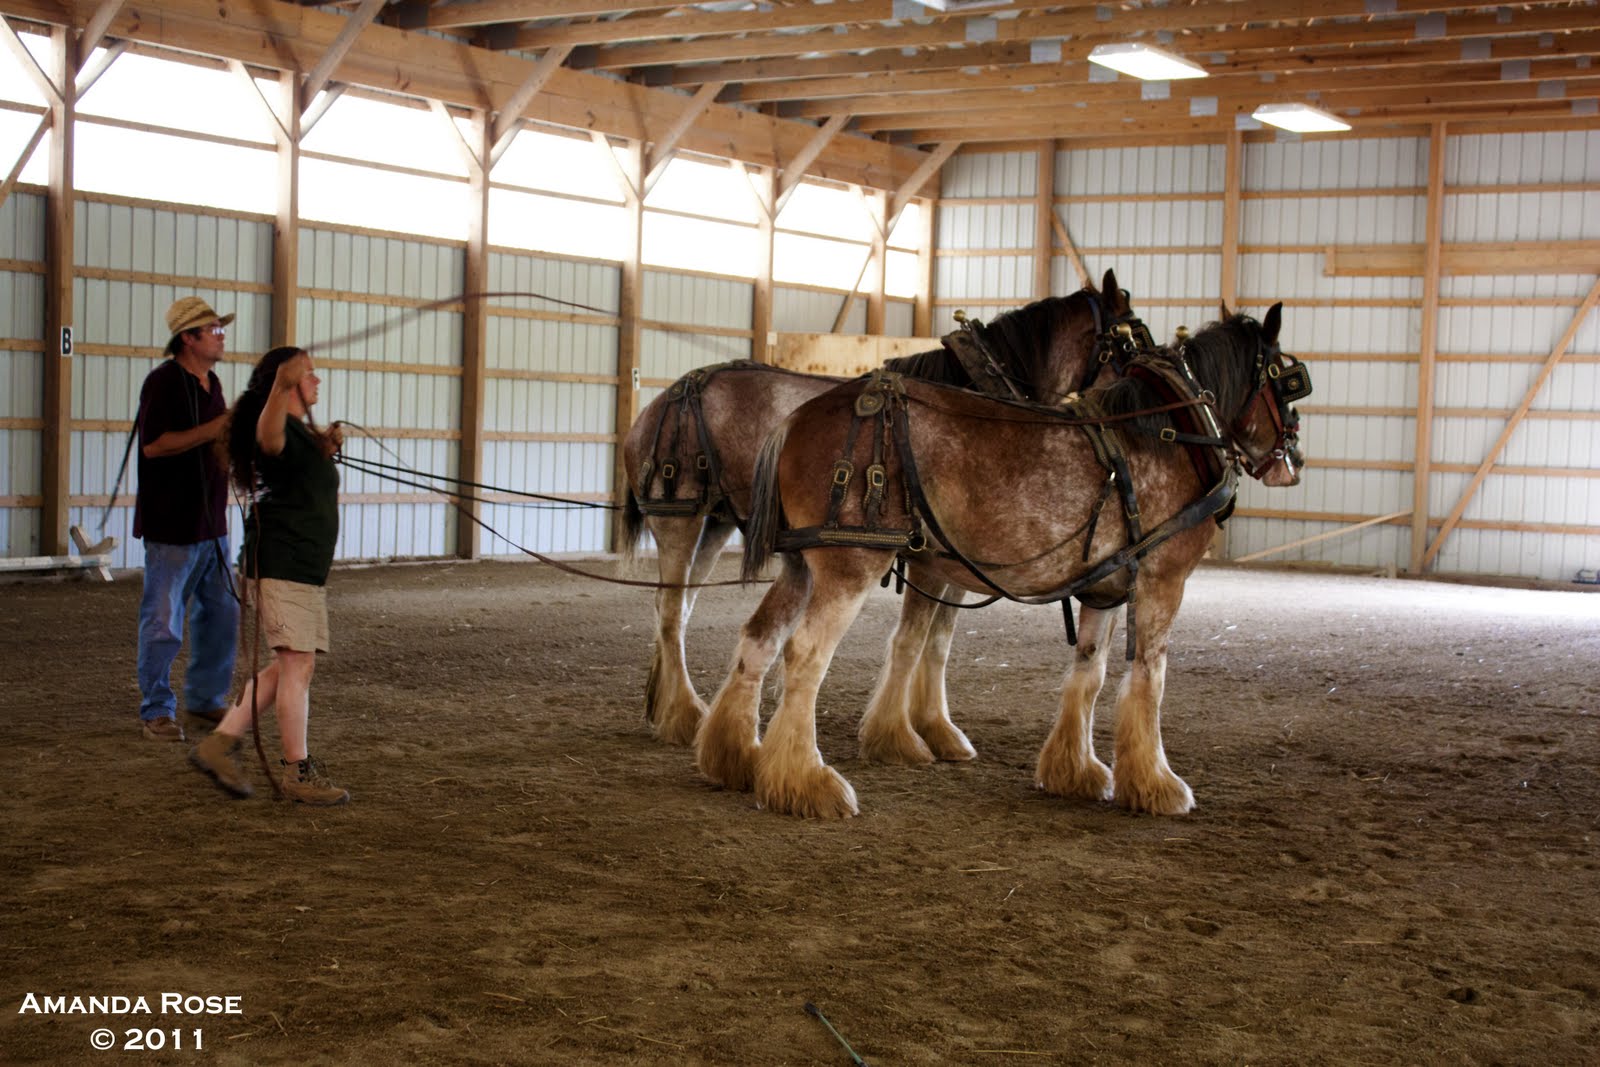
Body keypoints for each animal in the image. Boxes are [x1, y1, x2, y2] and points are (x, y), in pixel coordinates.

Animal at [621, 269, 1150, 752]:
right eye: (1129, 340)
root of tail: (667, 396)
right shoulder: (939, 559)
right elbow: (918, 637)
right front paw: (909, 730)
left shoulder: (967, 561)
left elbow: (940, 639)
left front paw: (934, 726)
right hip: (679, 520)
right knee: (670, 612)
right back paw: (682, 713)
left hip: (716, 523)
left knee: (676, 607)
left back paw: (663, 704)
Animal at [696, 303, 1310, 818]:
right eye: (1288, 382)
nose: (1293, 462)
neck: (1168, 433)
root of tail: (797, 418)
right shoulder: (1164, 579)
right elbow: (1149, 678)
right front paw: (1155, 783)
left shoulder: (1106, 587)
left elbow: (1089, 670)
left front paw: (1075, 770)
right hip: (850, 563)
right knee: (804, 654)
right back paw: (804, 780)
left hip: (803, 564)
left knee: (760, 637)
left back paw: (736, 757)